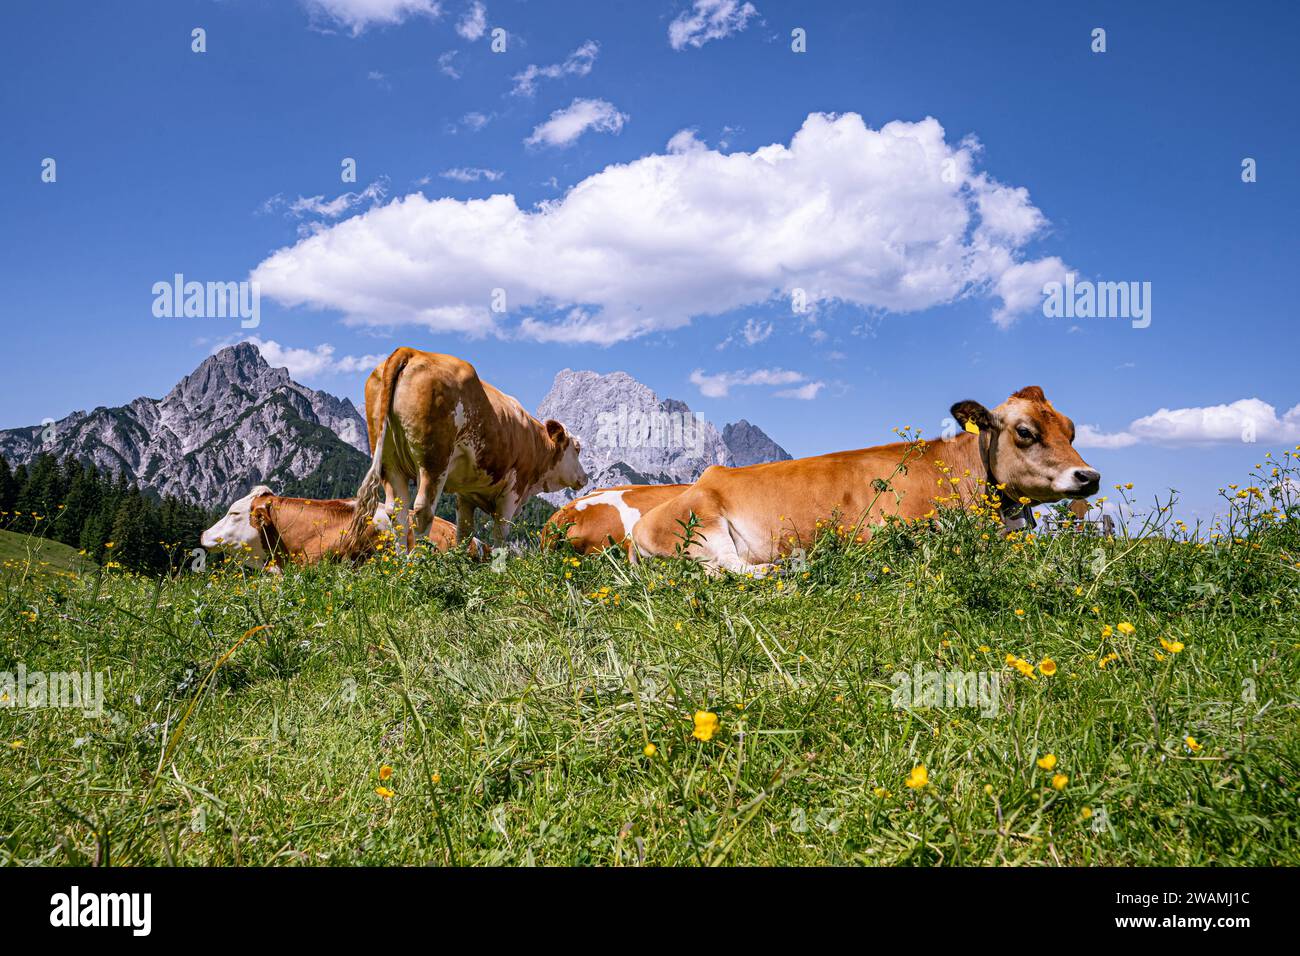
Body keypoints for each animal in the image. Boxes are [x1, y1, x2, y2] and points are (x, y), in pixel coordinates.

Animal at [352, 348, 588, 550]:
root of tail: (411, 351)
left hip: (390, 463)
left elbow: (464, 534)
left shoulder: (466, 493)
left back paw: (401, 564)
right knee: (423, 511)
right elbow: (501, 535)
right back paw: (416, 561)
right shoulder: (513, 490)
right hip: (434, 461)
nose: (585, 478)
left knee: (397, 513)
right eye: (577, 448)